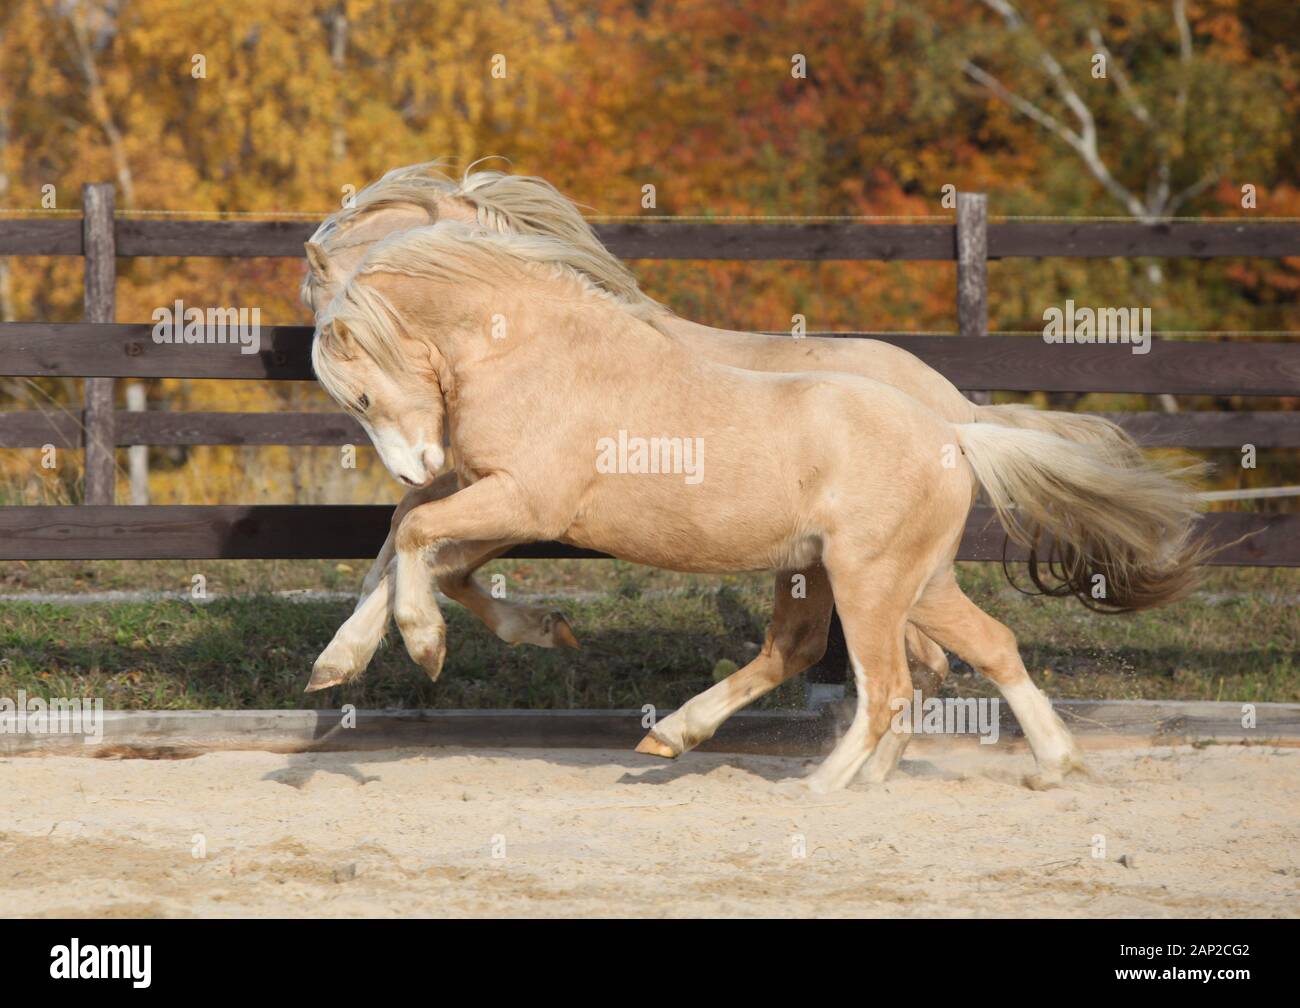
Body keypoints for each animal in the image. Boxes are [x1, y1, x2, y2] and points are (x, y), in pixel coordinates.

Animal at [301, 161, 1178, 763]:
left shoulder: (524, 501)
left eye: (360, 394)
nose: (416, 461)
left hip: (860, 569)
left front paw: (423, 644)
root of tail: (952, 416)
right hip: (850, 569)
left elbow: (418, 542)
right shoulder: (487, 492)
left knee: (889, 660)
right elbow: (408, 538)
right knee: (888, 655)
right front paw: (346, 660)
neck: (535, 346)